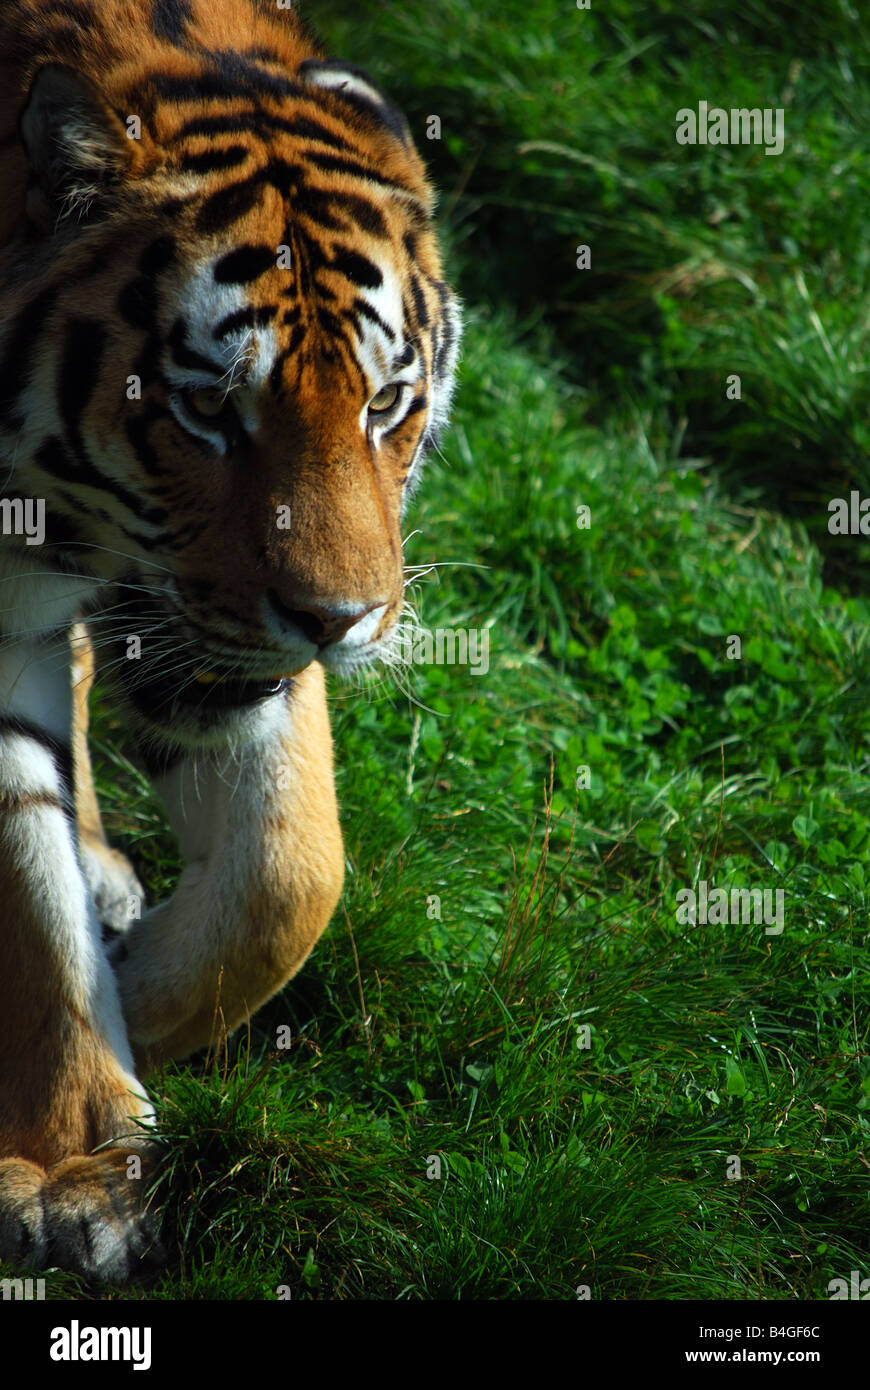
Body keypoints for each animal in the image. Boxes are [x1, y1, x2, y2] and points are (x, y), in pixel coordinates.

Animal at [0, 0, 460, 1281]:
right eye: (206, 408)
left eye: (383, 404)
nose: (339, 619)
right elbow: (26, 900)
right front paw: (73, 1173)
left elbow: (291, 874)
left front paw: (136, 998)